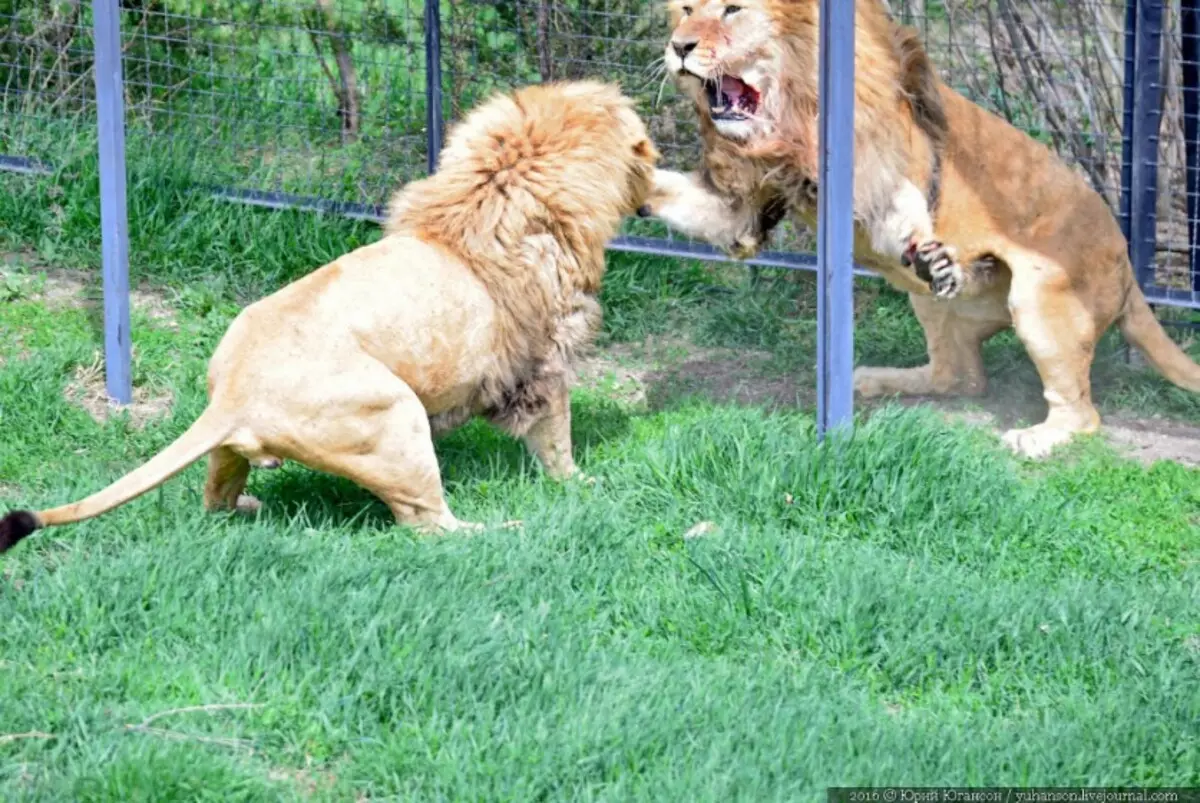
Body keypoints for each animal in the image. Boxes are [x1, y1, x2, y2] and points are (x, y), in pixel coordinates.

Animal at [0, 79, 667, 552]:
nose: (660, 176)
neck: (504, 193)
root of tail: (234, 396)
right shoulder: (543, 361)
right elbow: (557, 438)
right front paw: (580, 485)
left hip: (232, 450)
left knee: (215, 500)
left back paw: (251, 507)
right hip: (397, 418)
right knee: (428, 525)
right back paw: (503, 531)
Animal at [643, 0, 1200, 456]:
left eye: (733, 9)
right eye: (686, 9)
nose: (679, 46)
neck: (785, 120)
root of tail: (1129, 268)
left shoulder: (890, 167)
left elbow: (906, 210)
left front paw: (930, 250)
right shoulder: (741, 207)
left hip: (1043, 301)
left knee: (1082, 412)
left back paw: (1036, 437)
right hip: (930, 304)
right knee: (960, 378)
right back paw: (879, 375)